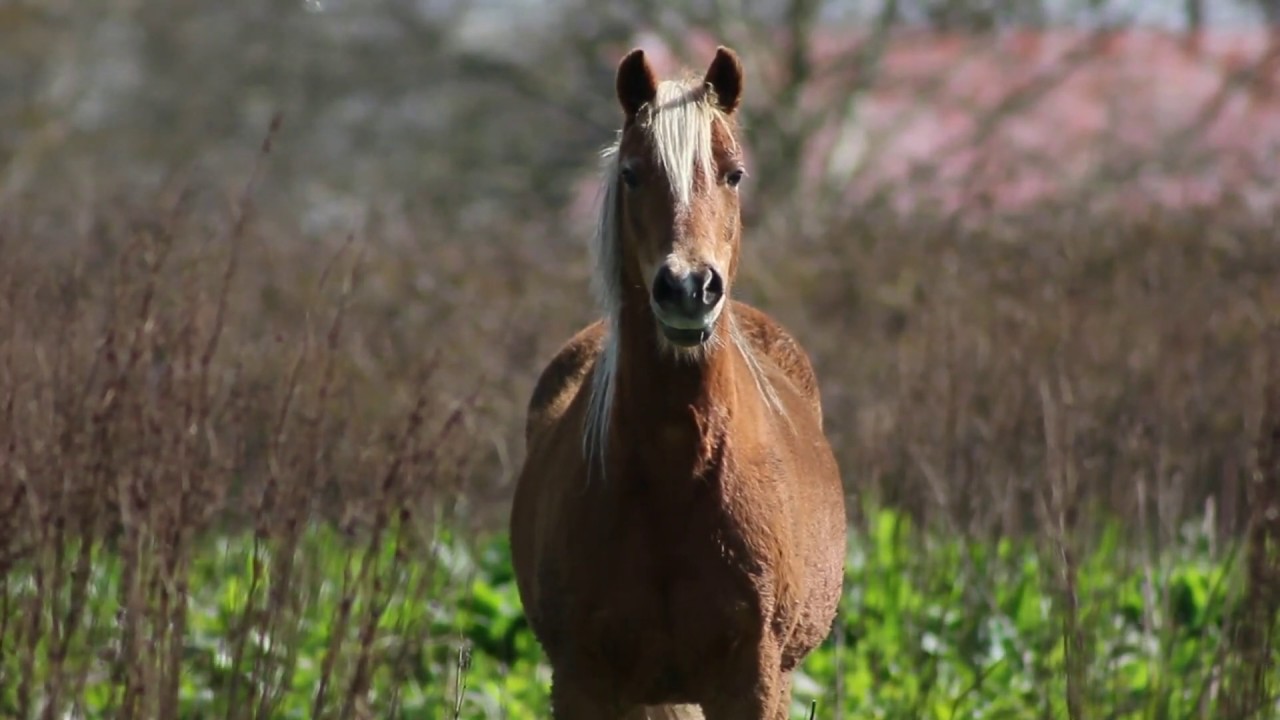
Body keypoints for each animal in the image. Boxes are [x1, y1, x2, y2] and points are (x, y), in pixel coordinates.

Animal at [509, 45, 848, 720]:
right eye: (633, 173)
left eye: (734, 173)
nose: (690, 288)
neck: (675, 467)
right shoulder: (583, 681)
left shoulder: (754, 681)